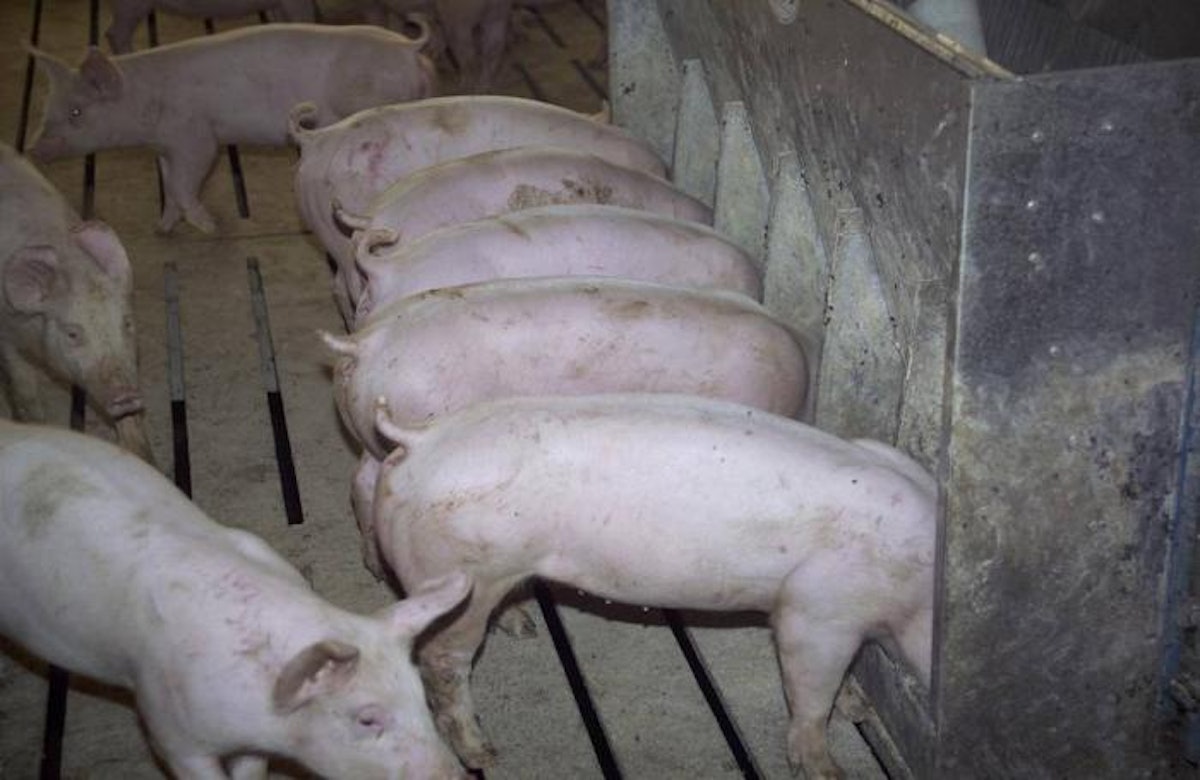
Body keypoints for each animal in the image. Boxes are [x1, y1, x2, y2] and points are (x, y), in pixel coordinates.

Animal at [0, 142, 152, 462]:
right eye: (72, 333)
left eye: (127, 323)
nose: (127, 395)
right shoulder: (4, 334)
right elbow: (23, 388)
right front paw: (34, 427)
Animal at [29, 23, 436, 234]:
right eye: (47, 109)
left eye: (76, 112)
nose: (34, 150)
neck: (145, 101)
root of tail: (409, 48)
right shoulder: (166, 146)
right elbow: (170, 184)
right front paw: (163, 227)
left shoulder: (194, 136)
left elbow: (185, 181)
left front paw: (209, 227)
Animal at [369, 393, 936, 779]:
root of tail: (420, 439)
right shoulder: (817, 610)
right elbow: (811, 688)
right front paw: (827, 770)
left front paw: (858, 707)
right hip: (459, 570)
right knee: (444, 661)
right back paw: (484, 751)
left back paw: (524, 626)